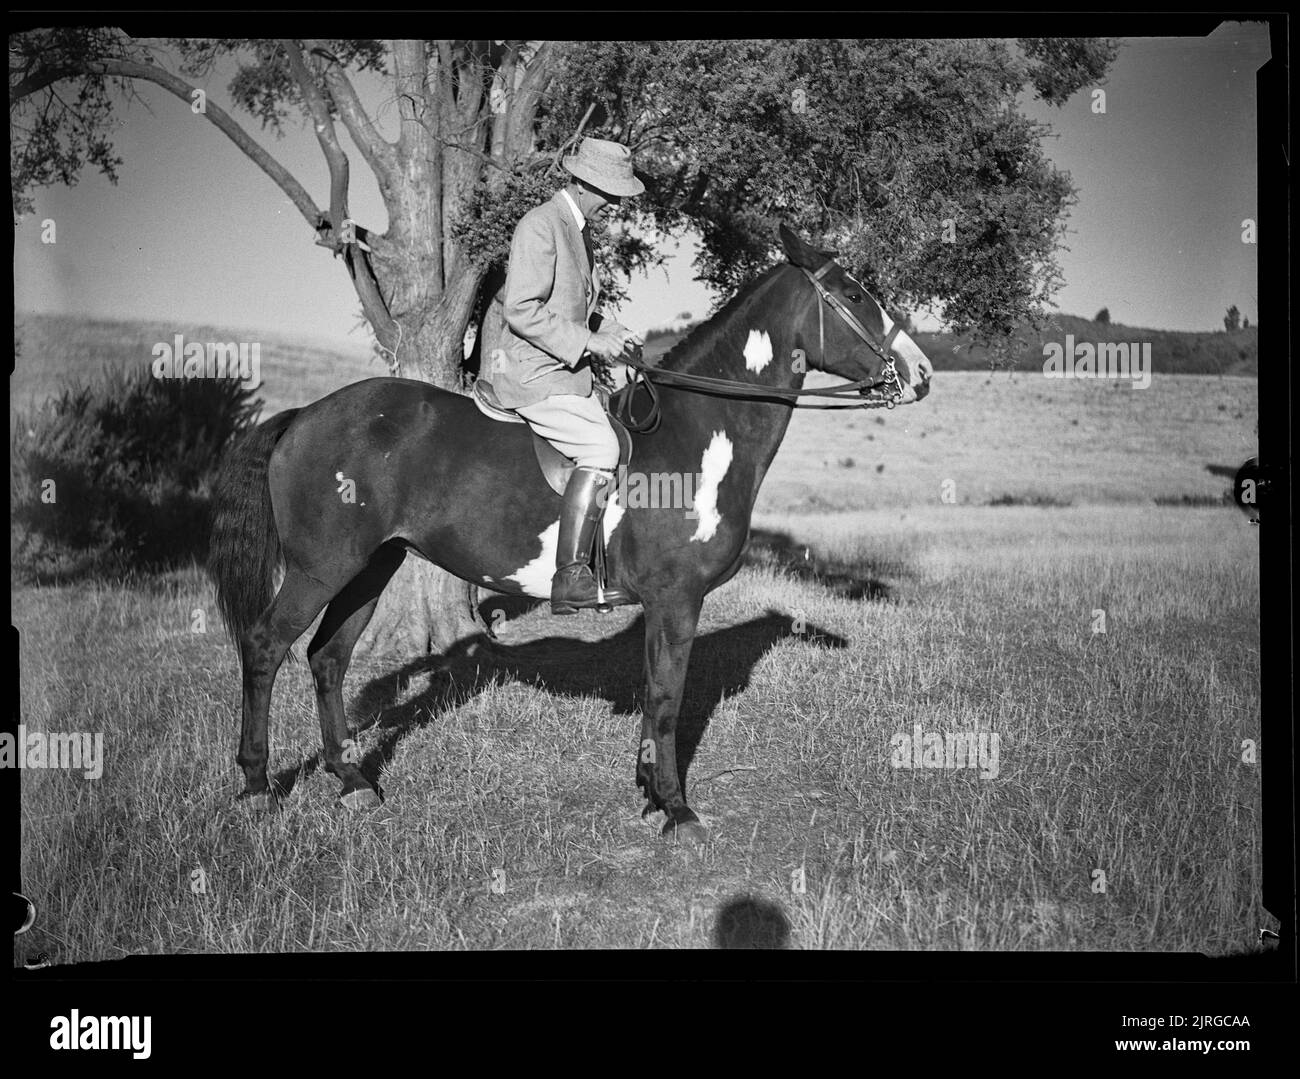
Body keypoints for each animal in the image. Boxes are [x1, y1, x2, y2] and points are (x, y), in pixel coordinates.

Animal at [206, 223, 933, 845]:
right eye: (855, 295)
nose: (922, 373)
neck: (700, 433)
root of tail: (306, 415)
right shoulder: (677, 599)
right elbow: (668, 698)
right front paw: (677, 809)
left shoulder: (665, 606)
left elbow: (655, 691)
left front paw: (650, 793)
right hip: (320, 567)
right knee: (266, 647)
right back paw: (256, 786)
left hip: (371, 567)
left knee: (328, 658)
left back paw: (351, 779)